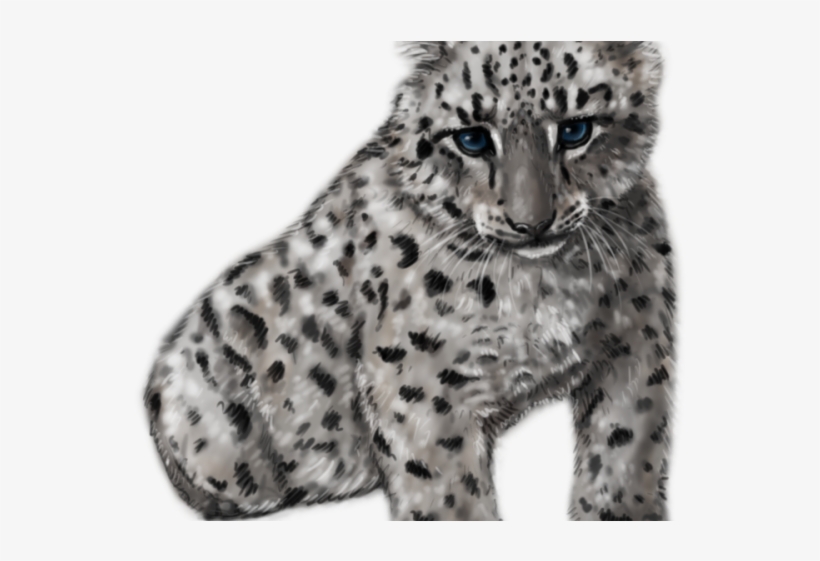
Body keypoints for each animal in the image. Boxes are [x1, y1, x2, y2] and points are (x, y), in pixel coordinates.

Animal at [144, 41, 675, 521]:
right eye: (472, 139)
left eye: (576, 129)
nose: (532, 224)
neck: (549, 279)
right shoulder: (418, 385)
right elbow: (447, 498)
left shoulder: (639, 345)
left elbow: (626, 453)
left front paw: (616, 511)